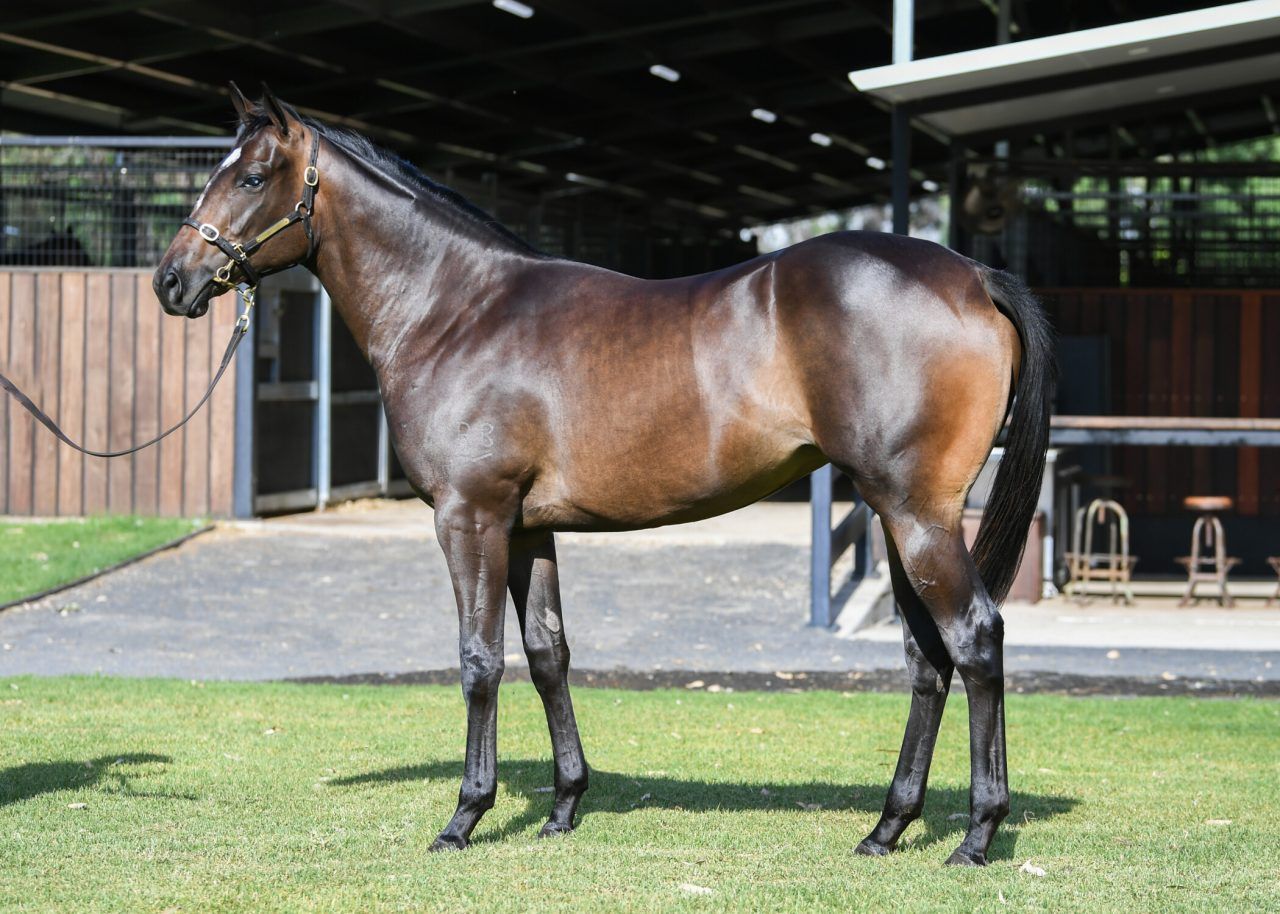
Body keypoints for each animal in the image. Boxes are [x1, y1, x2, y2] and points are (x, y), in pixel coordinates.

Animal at [155, 85, 1053, 866]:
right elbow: (548, 653)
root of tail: (972, 276)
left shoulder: (469, 517)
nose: (171, 280)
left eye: (252, 175)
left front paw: (465, 816)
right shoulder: (528, 528)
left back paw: (977, 835)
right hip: (894, 516)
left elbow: (479, 660)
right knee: (927, 659)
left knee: (975, 639)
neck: (457, 311)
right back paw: (887, 829)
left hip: (918, 515)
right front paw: (562, 808)